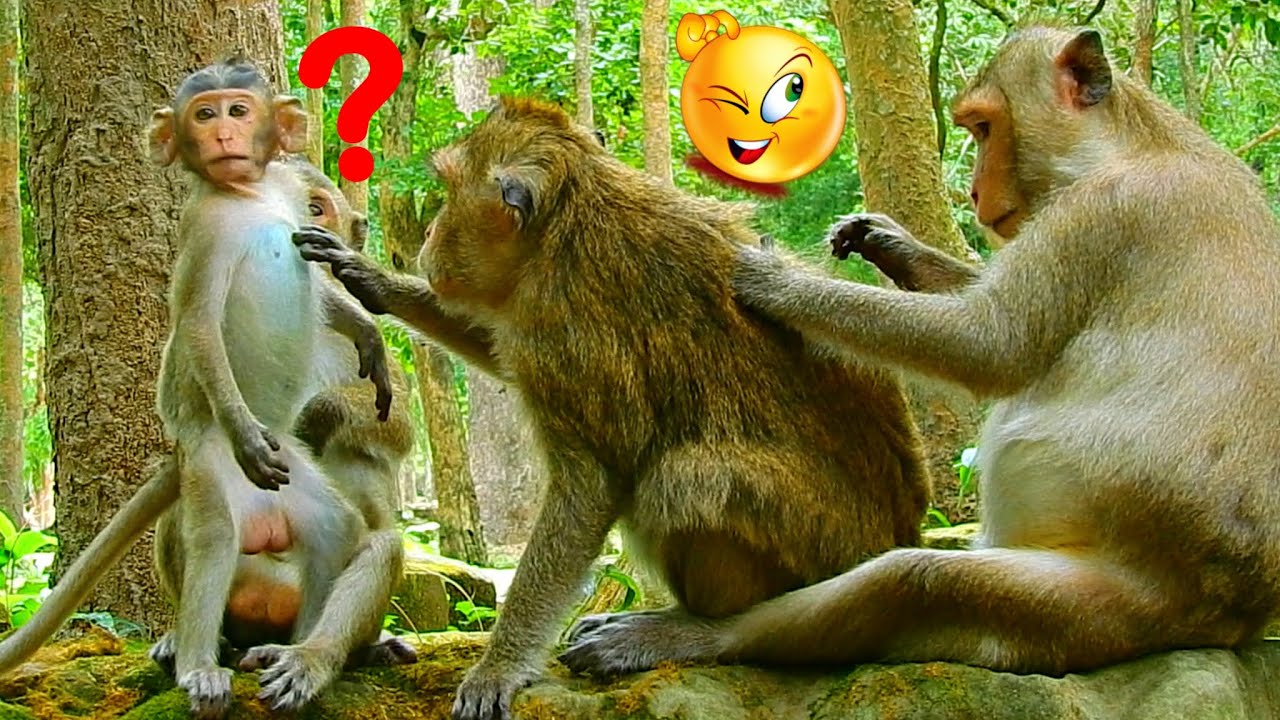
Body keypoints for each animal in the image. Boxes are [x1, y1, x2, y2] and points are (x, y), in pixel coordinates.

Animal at [0, 61, 413, 720]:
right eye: (204, 113)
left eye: (317, 208)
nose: (223, 136)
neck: (250, 202)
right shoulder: (204, 232)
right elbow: (196, 325)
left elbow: (392, 425)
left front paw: (348, 363)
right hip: (213, 474)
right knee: (208, 533)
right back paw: (196, 654)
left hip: (301, 507)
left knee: (360, 537)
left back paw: (308, 656)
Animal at [293, 96, 932, 720]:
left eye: (450, 192)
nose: (427, 239)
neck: (567, 219)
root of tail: (896, 536)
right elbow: (497, 348)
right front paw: (369, 278)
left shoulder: (563, 332)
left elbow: (590, 485)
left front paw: (499, 666)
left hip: (823, 555)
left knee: (686, 480)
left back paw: (689, 628)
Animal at [551, 26, 1280, 680]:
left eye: (983, 128)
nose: (977, 190)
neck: (1125, 143)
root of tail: (1226, 622)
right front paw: (885, 240)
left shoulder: (1100, 215)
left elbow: (990, 346)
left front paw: (779, 283)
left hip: (1092, 615)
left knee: (915, 580)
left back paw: (702, 634)